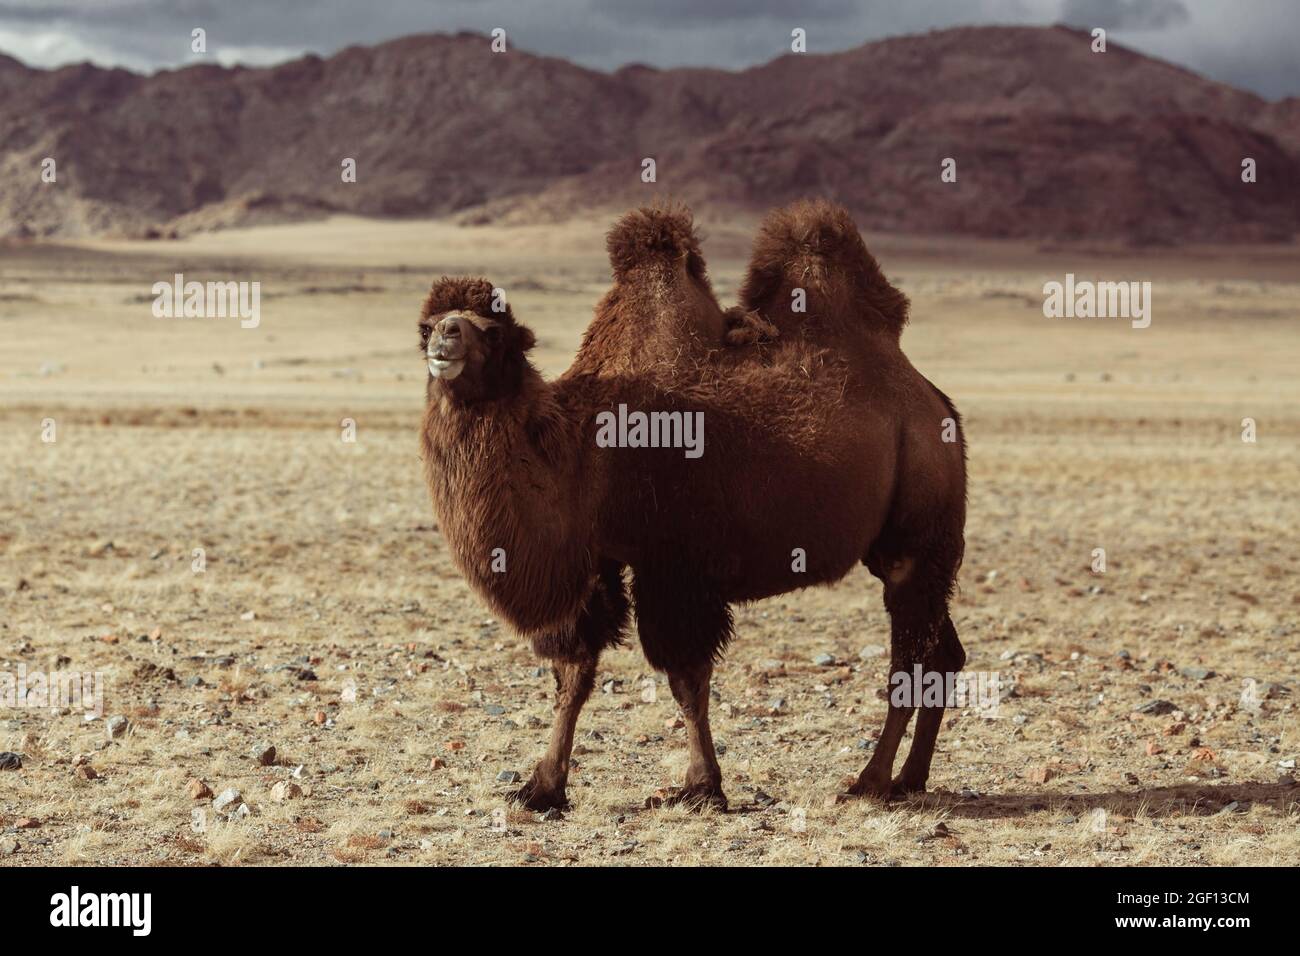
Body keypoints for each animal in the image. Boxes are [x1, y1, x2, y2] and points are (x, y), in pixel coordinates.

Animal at [418, 200, 967, 811]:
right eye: (426, 324)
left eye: (491, 331)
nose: (445, 336)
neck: (582, 452)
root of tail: (936, 403)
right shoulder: (597, 566)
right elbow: (573, 673)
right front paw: (542, 787)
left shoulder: (674, 564)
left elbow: (685, 676)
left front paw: (701, 786)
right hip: (901, 546)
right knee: (943, 653)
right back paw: (912, 778)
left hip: (918, 530)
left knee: (910, 656)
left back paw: (869, 780)